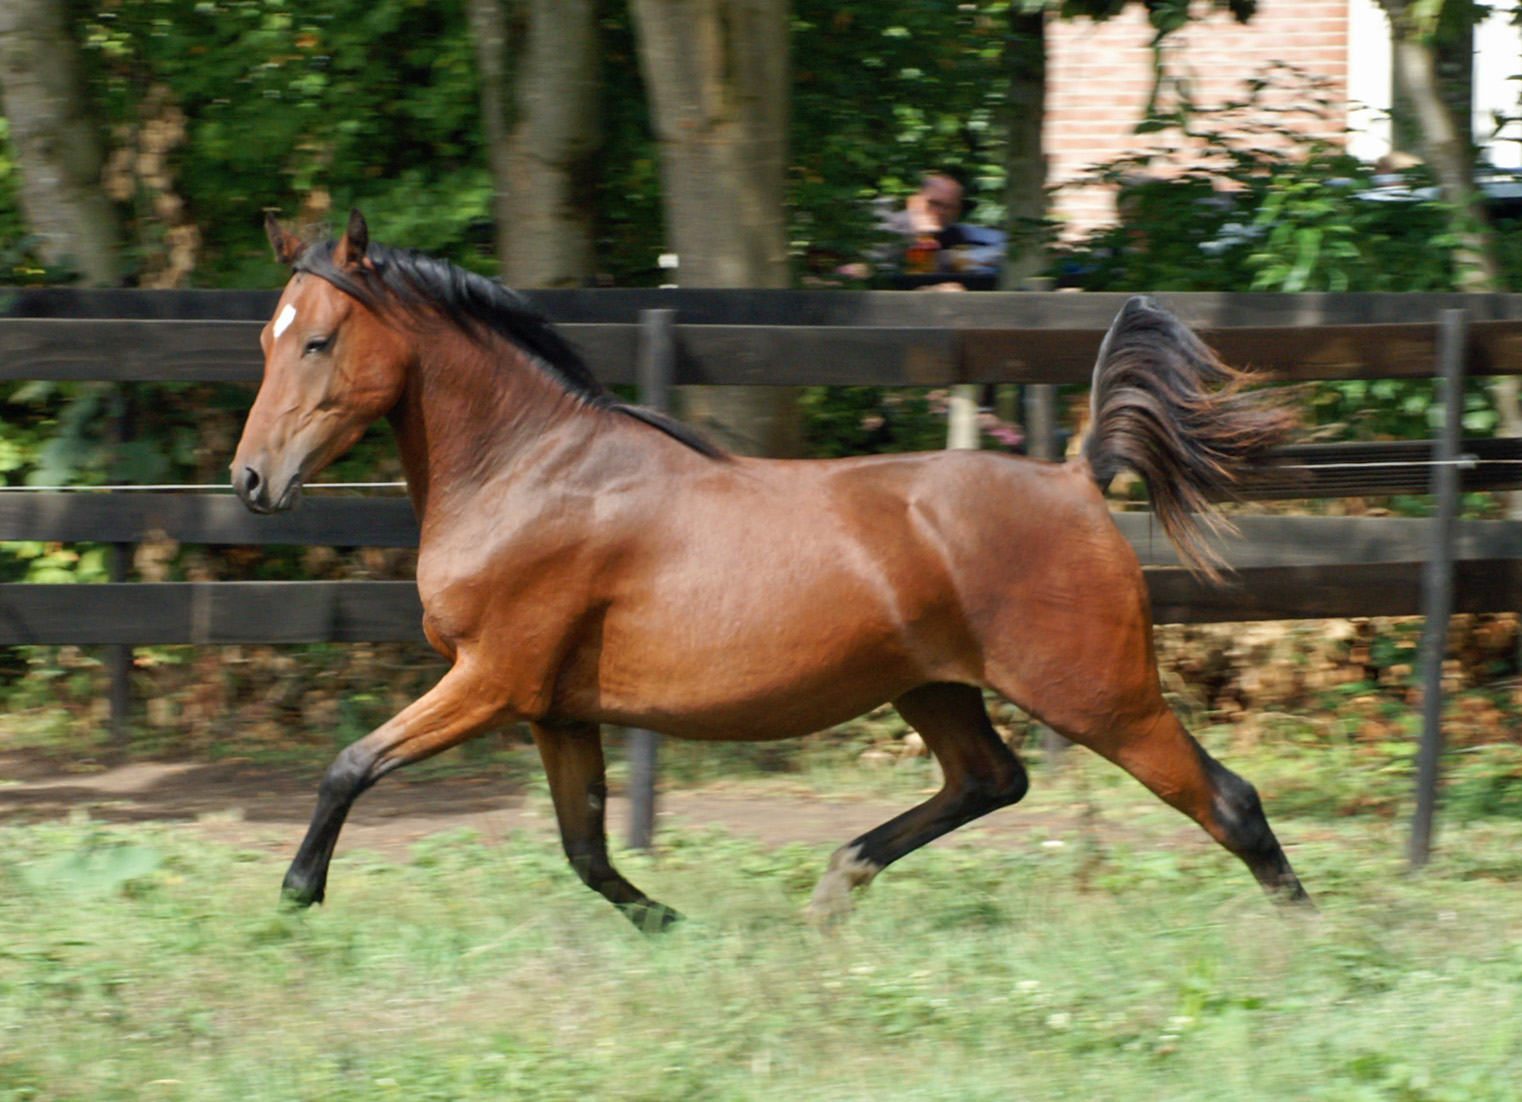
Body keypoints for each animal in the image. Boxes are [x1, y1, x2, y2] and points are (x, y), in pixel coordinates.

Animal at [233, 209, 1311, 930]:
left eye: (319, 340)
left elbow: (351, 764)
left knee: (1227, 802)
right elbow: (585, 847)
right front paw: (670, 925)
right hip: (934, 686)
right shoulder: (555, 707)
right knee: (989, 779)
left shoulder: (491, 677)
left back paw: (1304, 937)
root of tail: (1075, 478)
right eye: (266, 338)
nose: (251, 479)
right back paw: (836, 883)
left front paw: (294, 899)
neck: (532, 471)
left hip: (1099, 695)